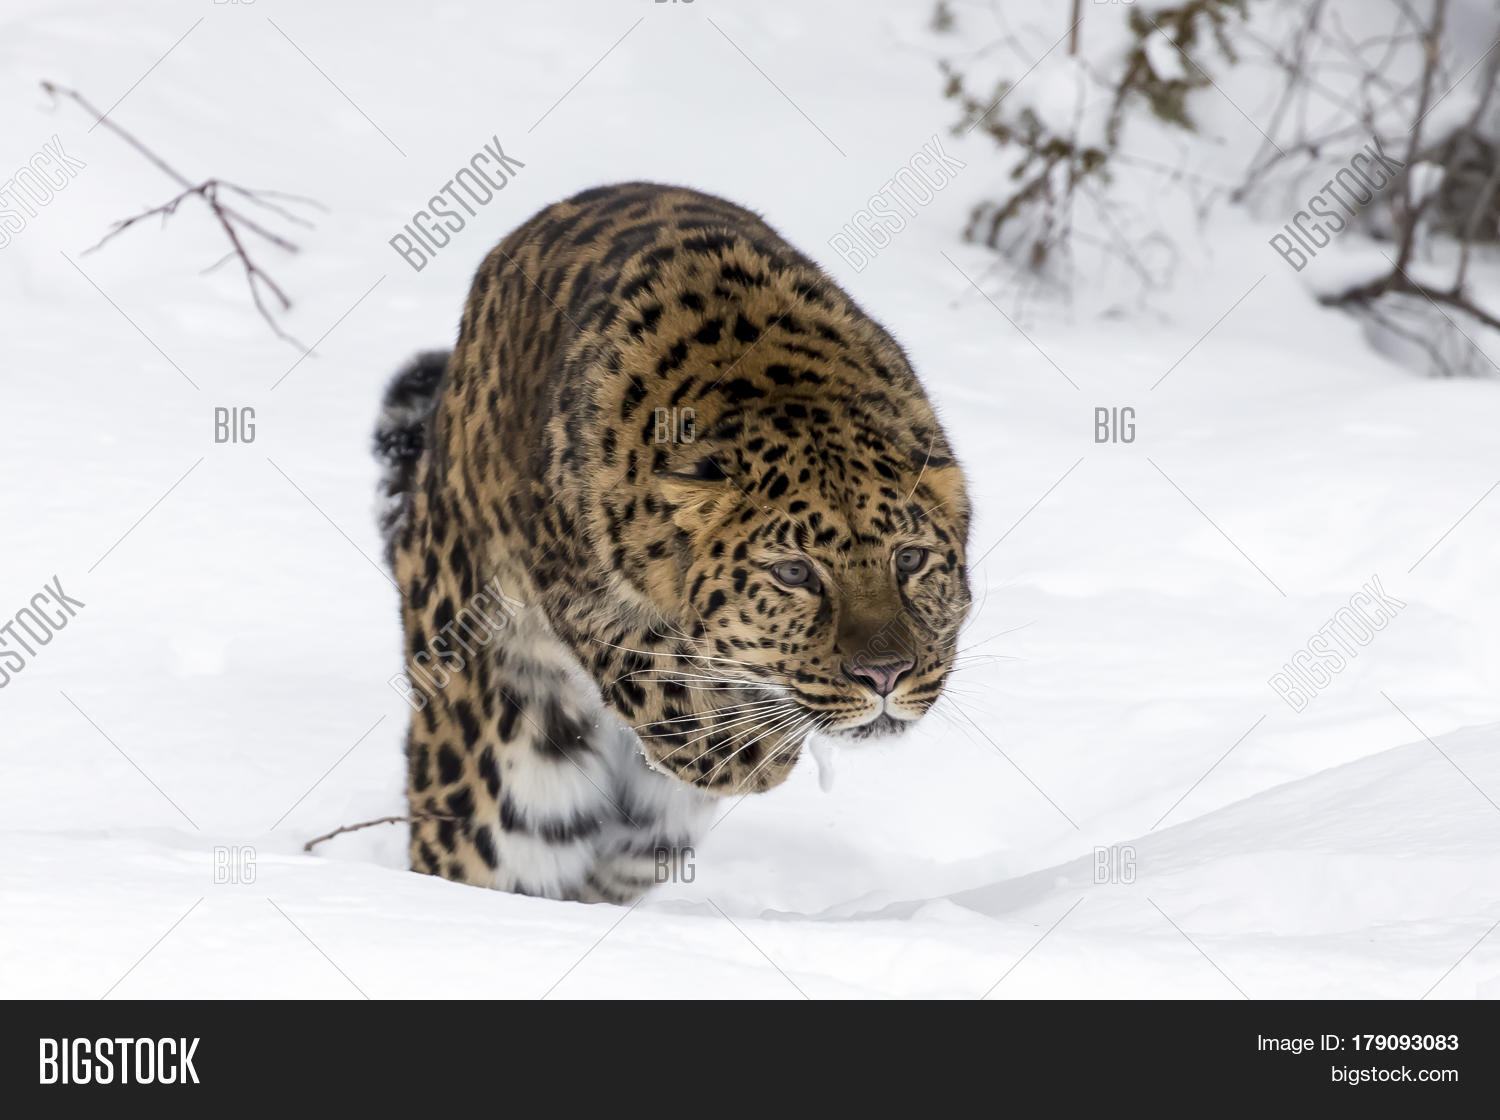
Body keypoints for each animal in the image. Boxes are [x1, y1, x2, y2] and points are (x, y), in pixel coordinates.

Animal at [373, 182, 971, 903]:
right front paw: (768, 738)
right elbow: (704, 726)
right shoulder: (600, 620)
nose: (885, 674)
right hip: (493, 762)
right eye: (795, 574)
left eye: (909, 560)